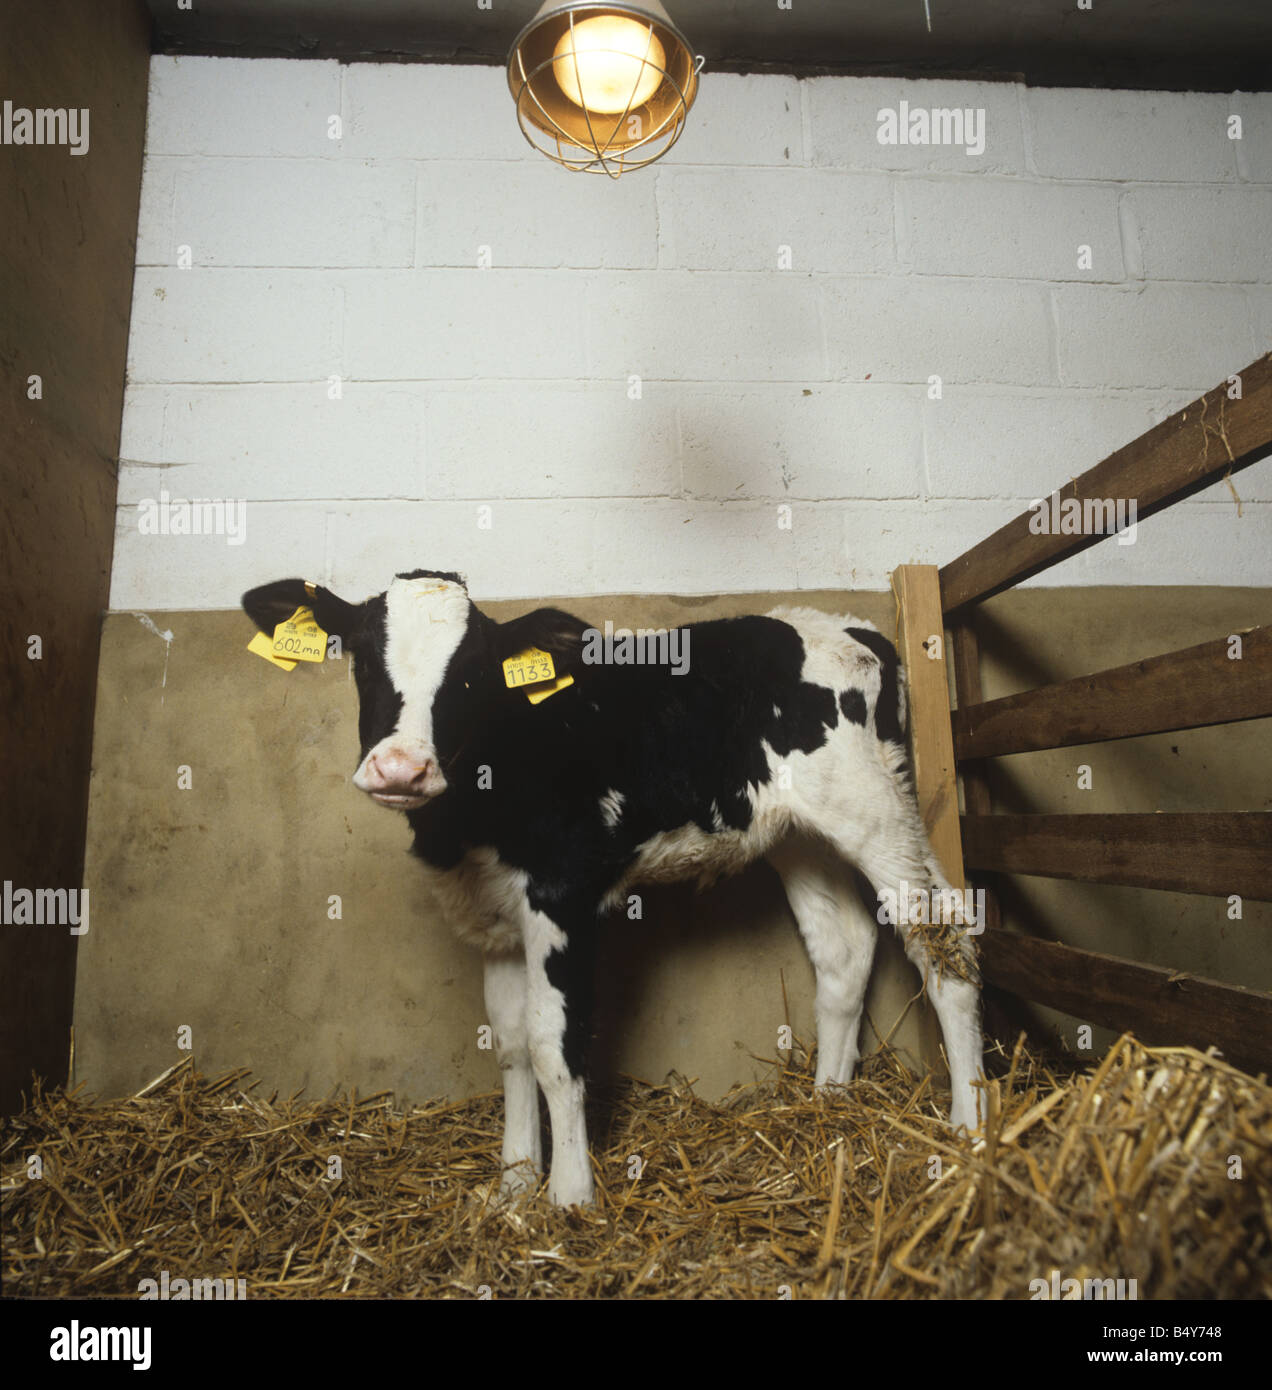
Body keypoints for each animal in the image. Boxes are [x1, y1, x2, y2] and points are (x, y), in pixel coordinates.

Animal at [243, 570, 984, 1207]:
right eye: (363, 658)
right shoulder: (494, 918)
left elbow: (555, 1046)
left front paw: (570, 1198)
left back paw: (970, 1127)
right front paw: (514, 1188)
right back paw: (827, 1106)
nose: (401, 767)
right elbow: (511, 1045)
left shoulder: (563, 896)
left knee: (944, 937)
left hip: (876, 808)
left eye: (471, 674)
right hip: (799, 833)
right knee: (845, 950)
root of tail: (852, 628)